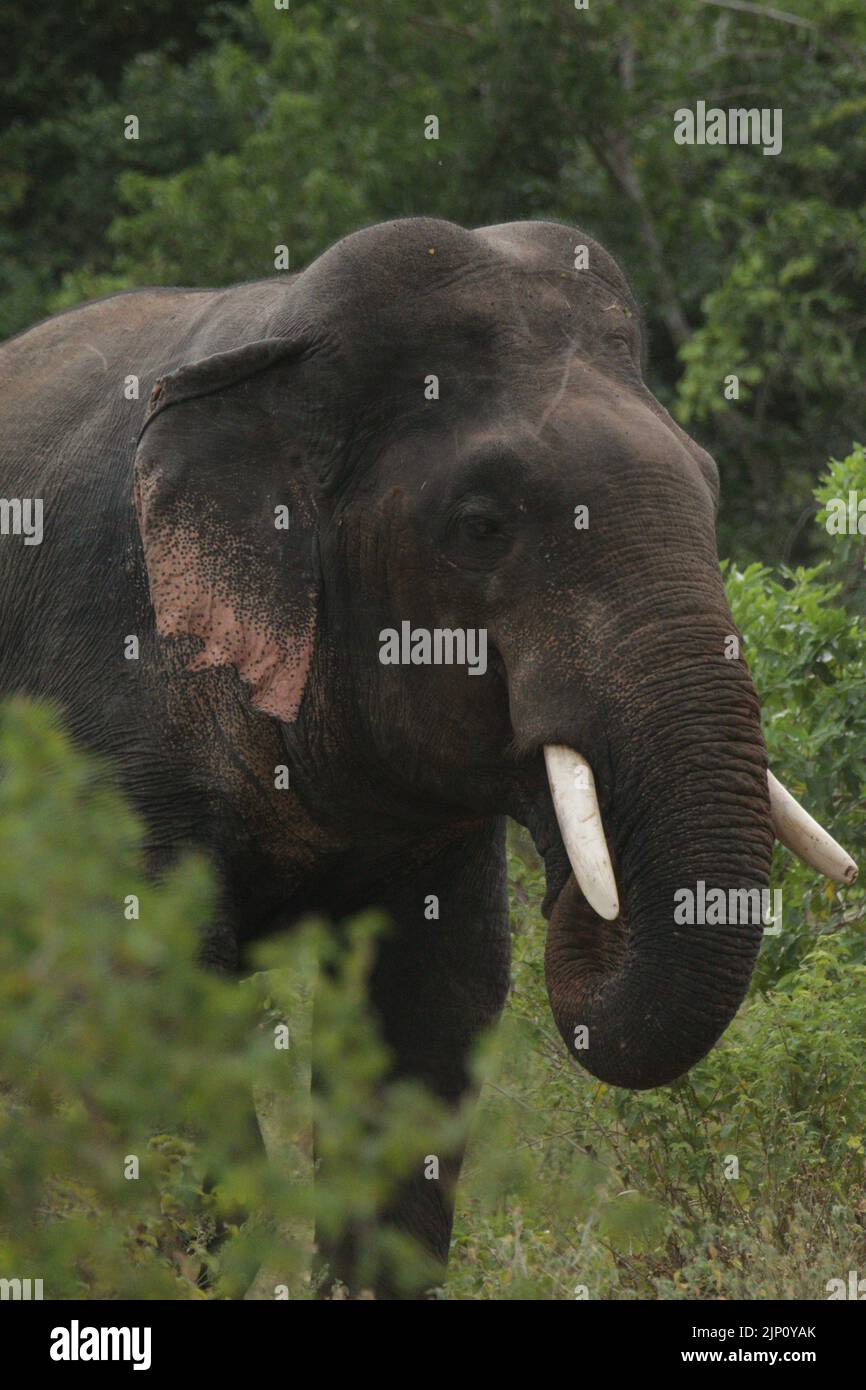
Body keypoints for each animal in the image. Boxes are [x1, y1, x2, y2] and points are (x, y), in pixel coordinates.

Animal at [0, 216, 856, 1297]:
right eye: (482, 525)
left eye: (708, 489)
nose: (584, 897)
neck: (280, 354)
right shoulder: (105, 711)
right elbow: (150, 986)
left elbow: (436, 996)